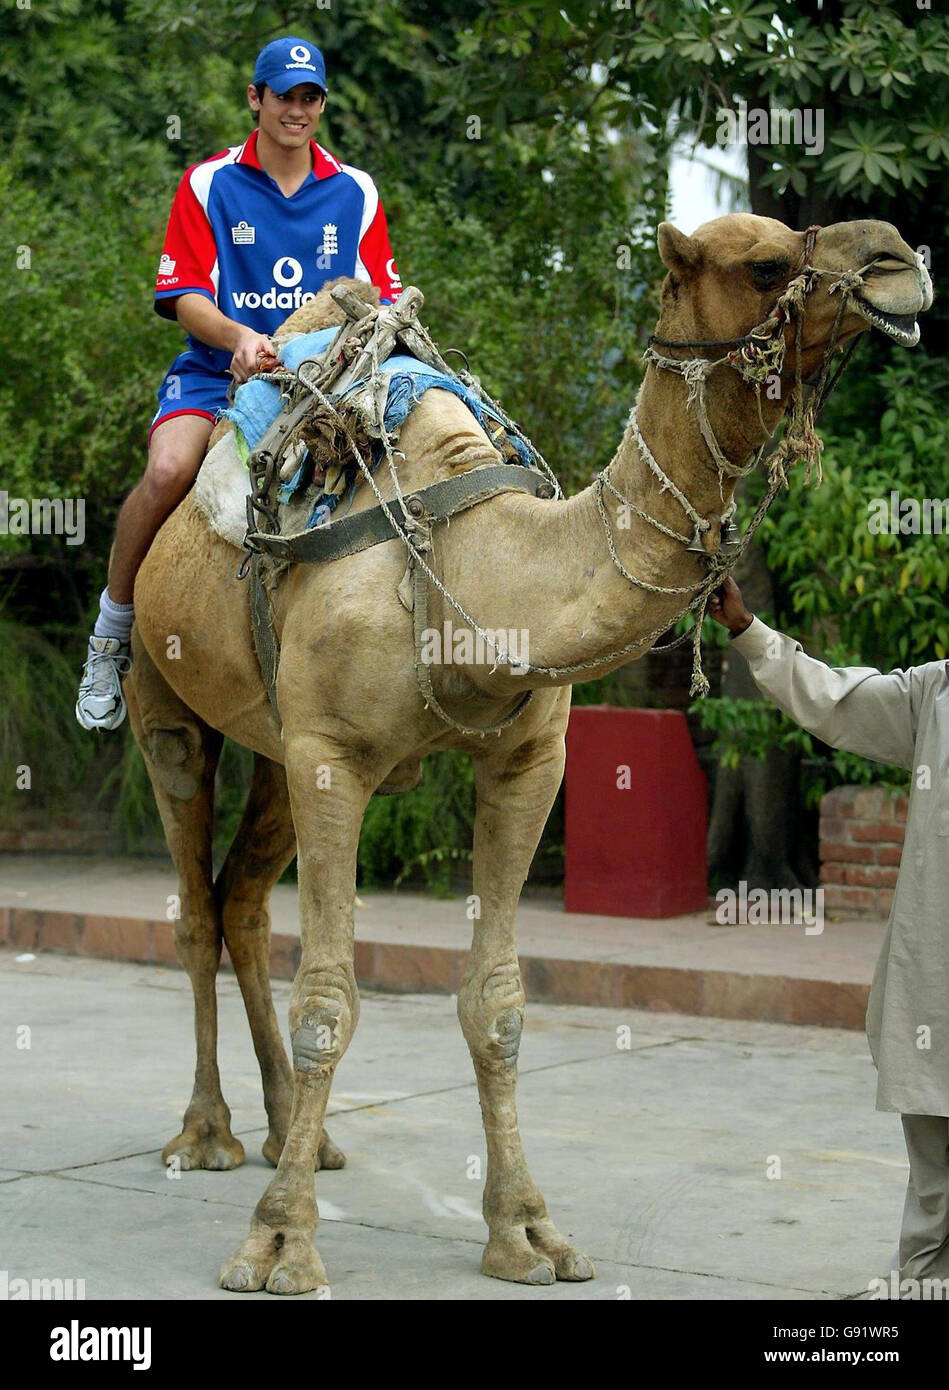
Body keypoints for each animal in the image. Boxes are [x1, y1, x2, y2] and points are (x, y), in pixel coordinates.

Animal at [126, 213, 931, 1293]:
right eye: (764, 262)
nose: (897, 259)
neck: (474, 561)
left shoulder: (524, 759)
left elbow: (498, 1000)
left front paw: (526, 1231)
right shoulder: (332, 752)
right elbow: (330, 996)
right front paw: (280, 1243)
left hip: (272, 746)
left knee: (242, 901)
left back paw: (300, 1131)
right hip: (167, 702)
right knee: (194, 909)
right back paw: (207, 1134)